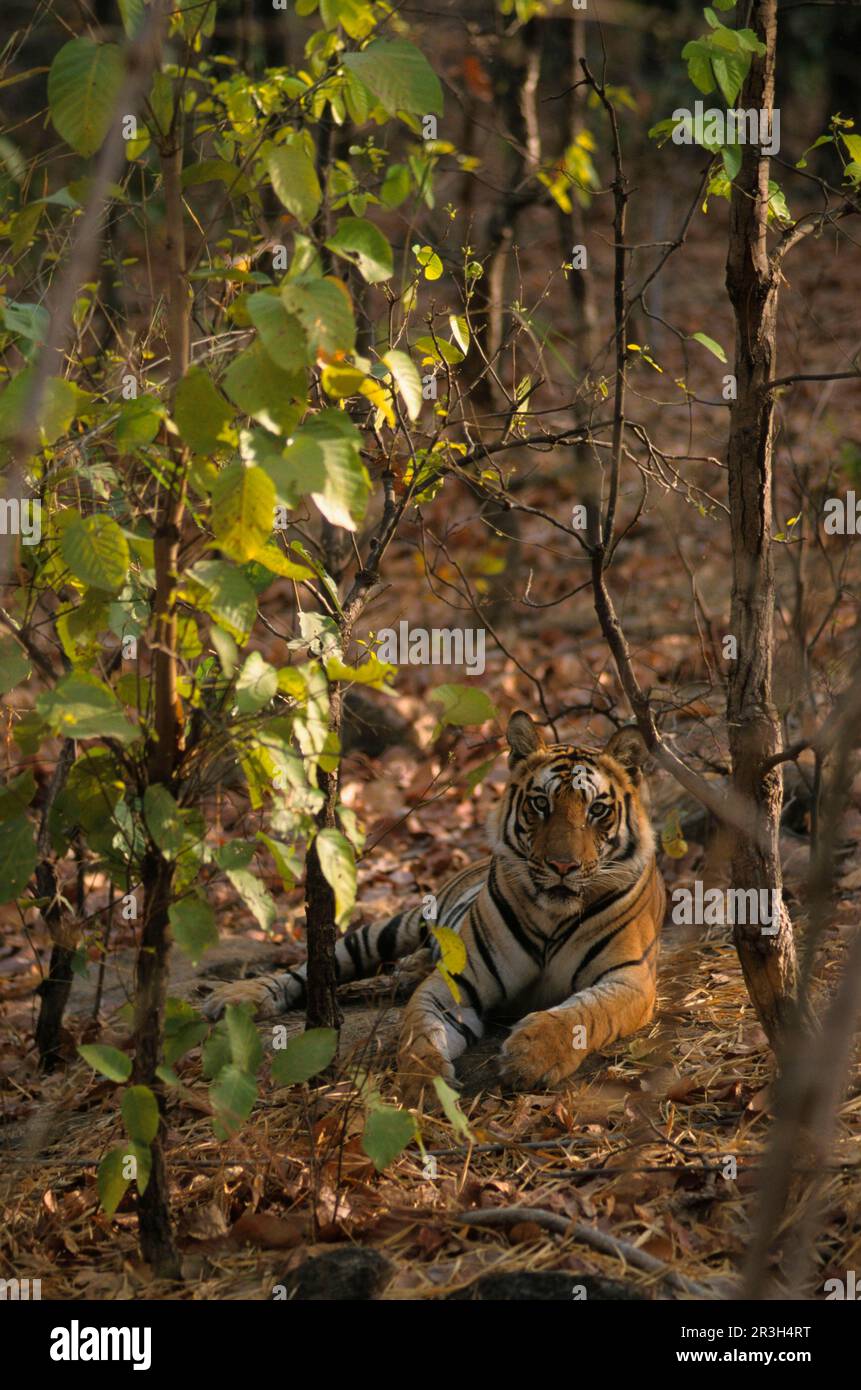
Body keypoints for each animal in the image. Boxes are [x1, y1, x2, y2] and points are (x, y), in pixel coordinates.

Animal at [200, 710, 666, 1103]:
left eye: (597, 810)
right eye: (540, 804)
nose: (563, 866)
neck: (553, 916)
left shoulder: (629, 979)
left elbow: (580, 1016)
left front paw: (531, 1057)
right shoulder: (458, 981)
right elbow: (420, 1031)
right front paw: (425, 1082)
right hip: (393, 928)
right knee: (308, 967)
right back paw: (238, 996)